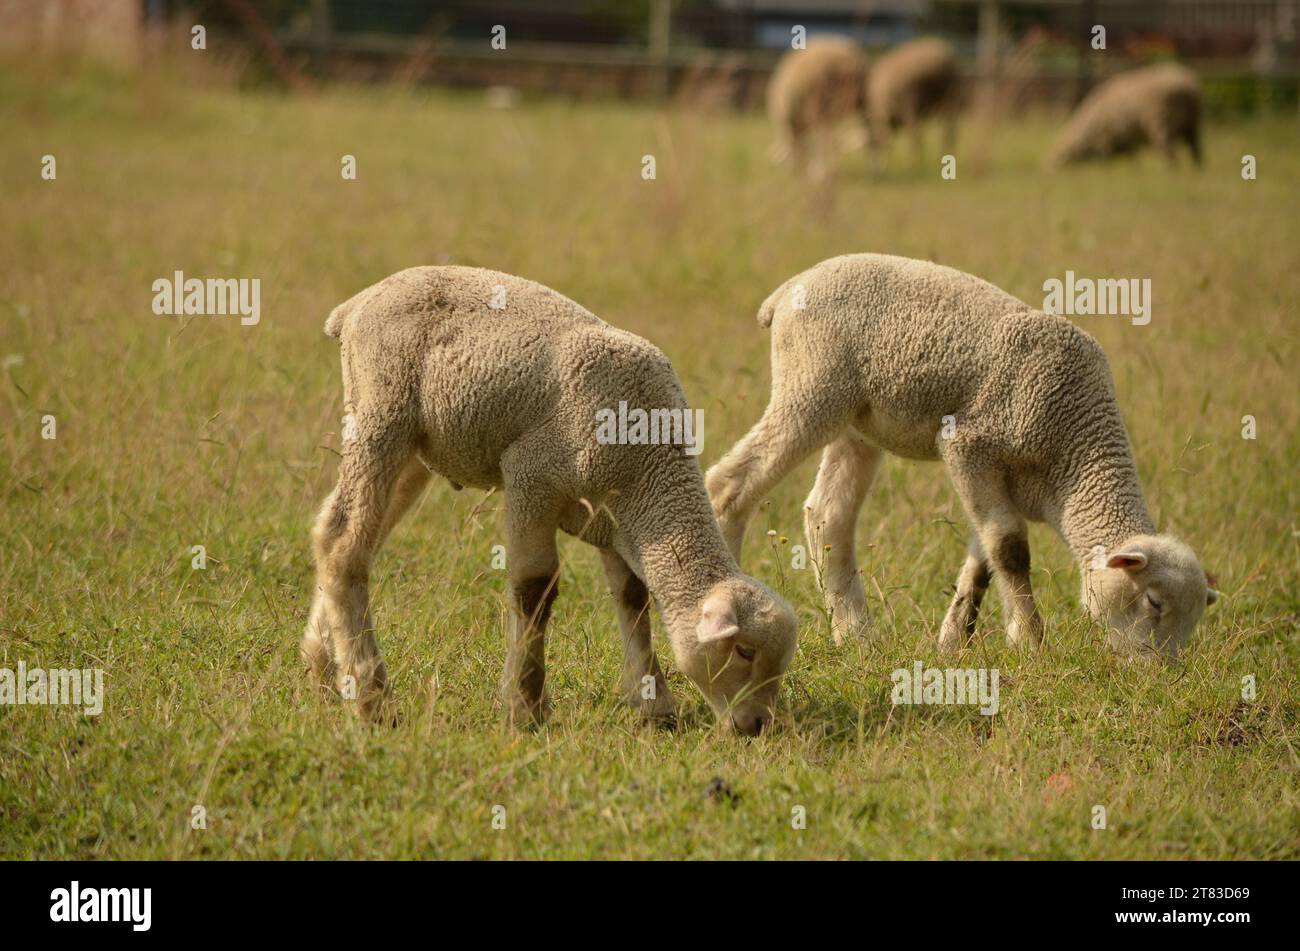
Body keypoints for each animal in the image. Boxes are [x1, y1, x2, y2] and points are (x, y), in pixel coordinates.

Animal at [303, 266, 797, 734]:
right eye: (744, 651)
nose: (758, 726)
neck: (646, 471)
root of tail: (356, 305)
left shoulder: (611, 519)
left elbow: (633, 596)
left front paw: (654, 707)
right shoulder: (530, 476)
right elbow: (534, 589)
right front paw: (525, 707)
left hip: (415, 450)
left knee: (348, 538)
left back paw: (324, 670)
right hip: (382, 413)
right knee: (341, 540)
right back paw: (372, 700)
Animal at [705, 253, 1218, 659]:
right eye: (1153, 603)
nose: (1156, 673)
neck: (1072, 462)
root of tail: (787, 289)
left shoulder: (997, 479)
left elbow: (985, 557)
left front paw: (955, 641)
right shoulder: (968, 444)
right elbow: (1010, 549)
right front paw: (1031, 642)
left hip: (857, 424)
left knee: (828, 517)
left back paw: (856, 637)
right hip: (812, 388)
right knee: (730, 484)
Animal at [767, 36, 870, 178]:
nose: (791, 171)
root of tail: (848, 61)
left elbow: (813, 143)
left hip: (819, 102)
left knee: (823, 137)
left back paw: (819, 172)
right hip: (863, 100)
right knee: (868, 134)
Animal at [864, 37, 960, 169]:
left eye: (871, 147)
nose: (873, 170)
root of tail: (942, 56)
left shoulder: (885, 116)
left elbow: (887, 140)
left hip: (912, 102)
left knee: (916, 136)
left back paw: (916, 163)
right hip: (948, 97)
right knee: (948, 129)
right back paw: (945, 154)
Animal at [1050, 63, 1202, 166]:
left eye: (1063, 157)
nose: (1051, 169)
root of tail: (1187, 88)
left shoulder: (1107, 140)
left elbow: (1110, 160)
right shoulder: (1126, 139)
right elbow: (1133, 159)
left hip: (1162, 124)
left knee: (1170, 152)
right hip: (1192, 124)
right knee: (1196, 150)